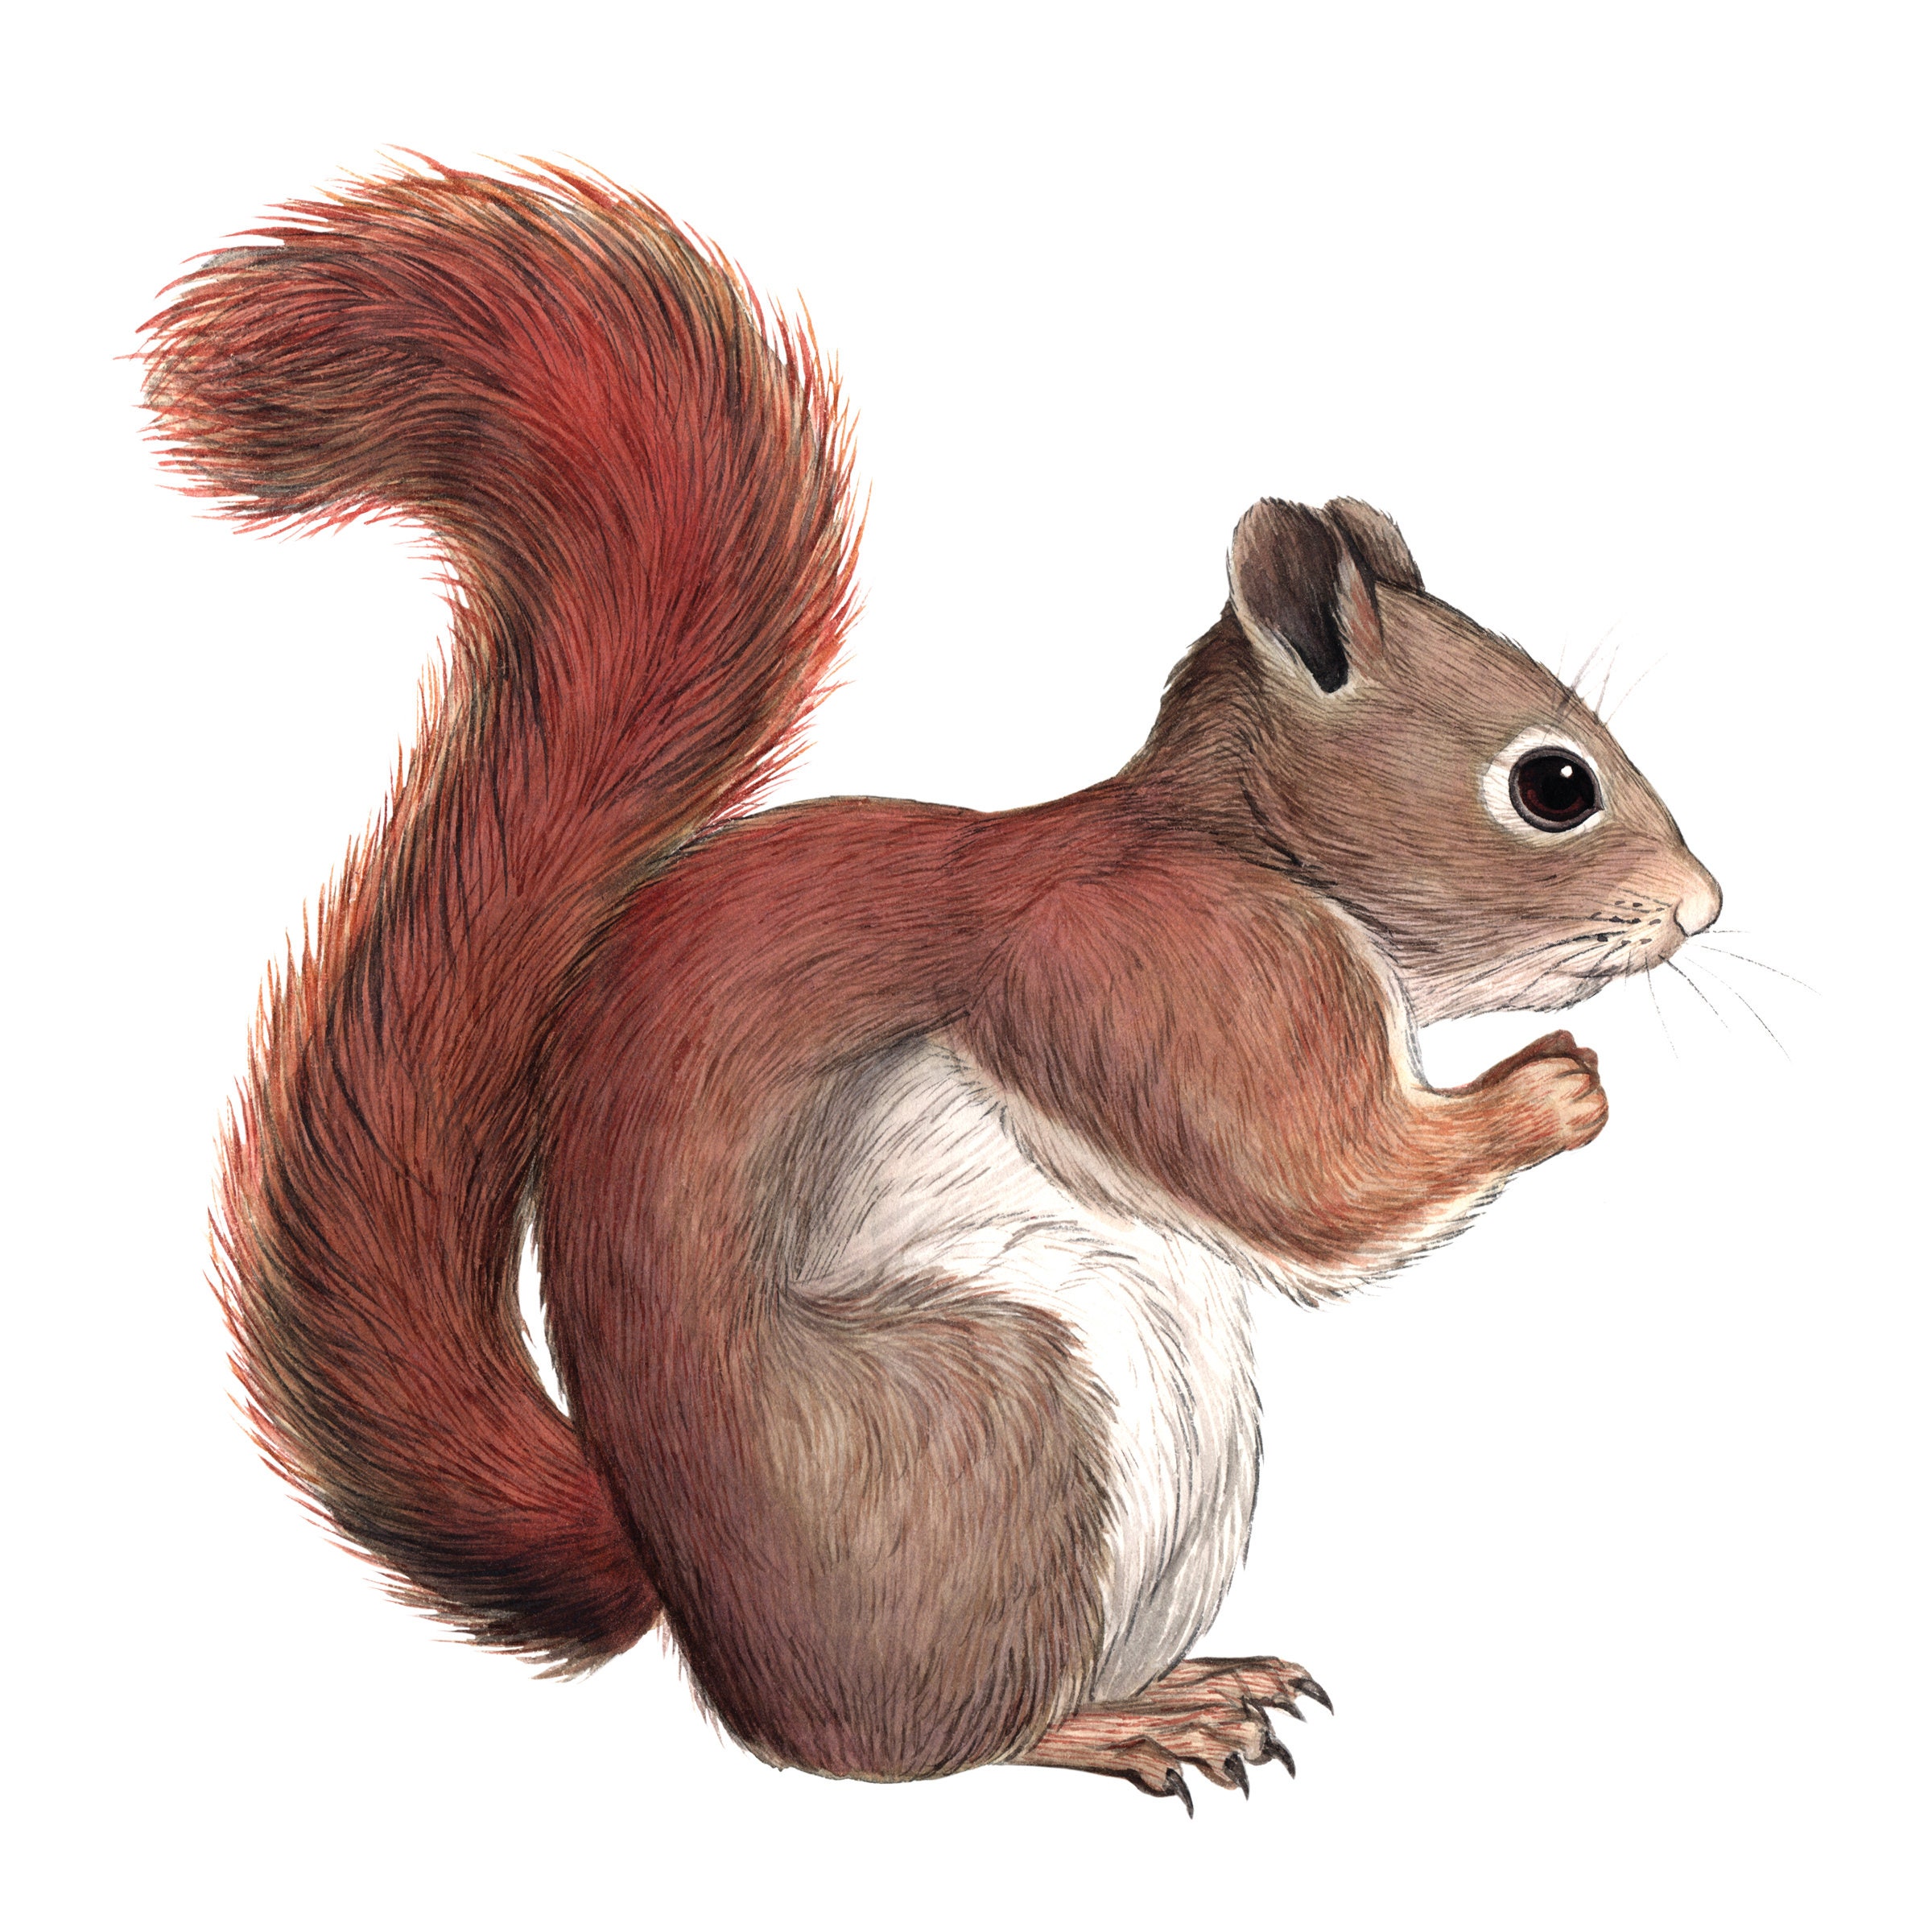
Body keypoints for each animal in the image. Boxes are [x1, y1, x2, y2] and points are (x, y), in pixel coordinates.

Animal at [143, 160, 1720, 1810]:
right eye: (1552, 785)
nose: (1707, 907)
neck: (1242, 844)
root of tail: (700, 1613)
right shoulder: (1167, 976)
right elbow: (1322, 1188)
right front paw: (1555, 1091)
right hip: (1006, 1418)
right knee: (943, 1741)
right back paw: (1122, 1723)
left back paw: (1189, 1681)